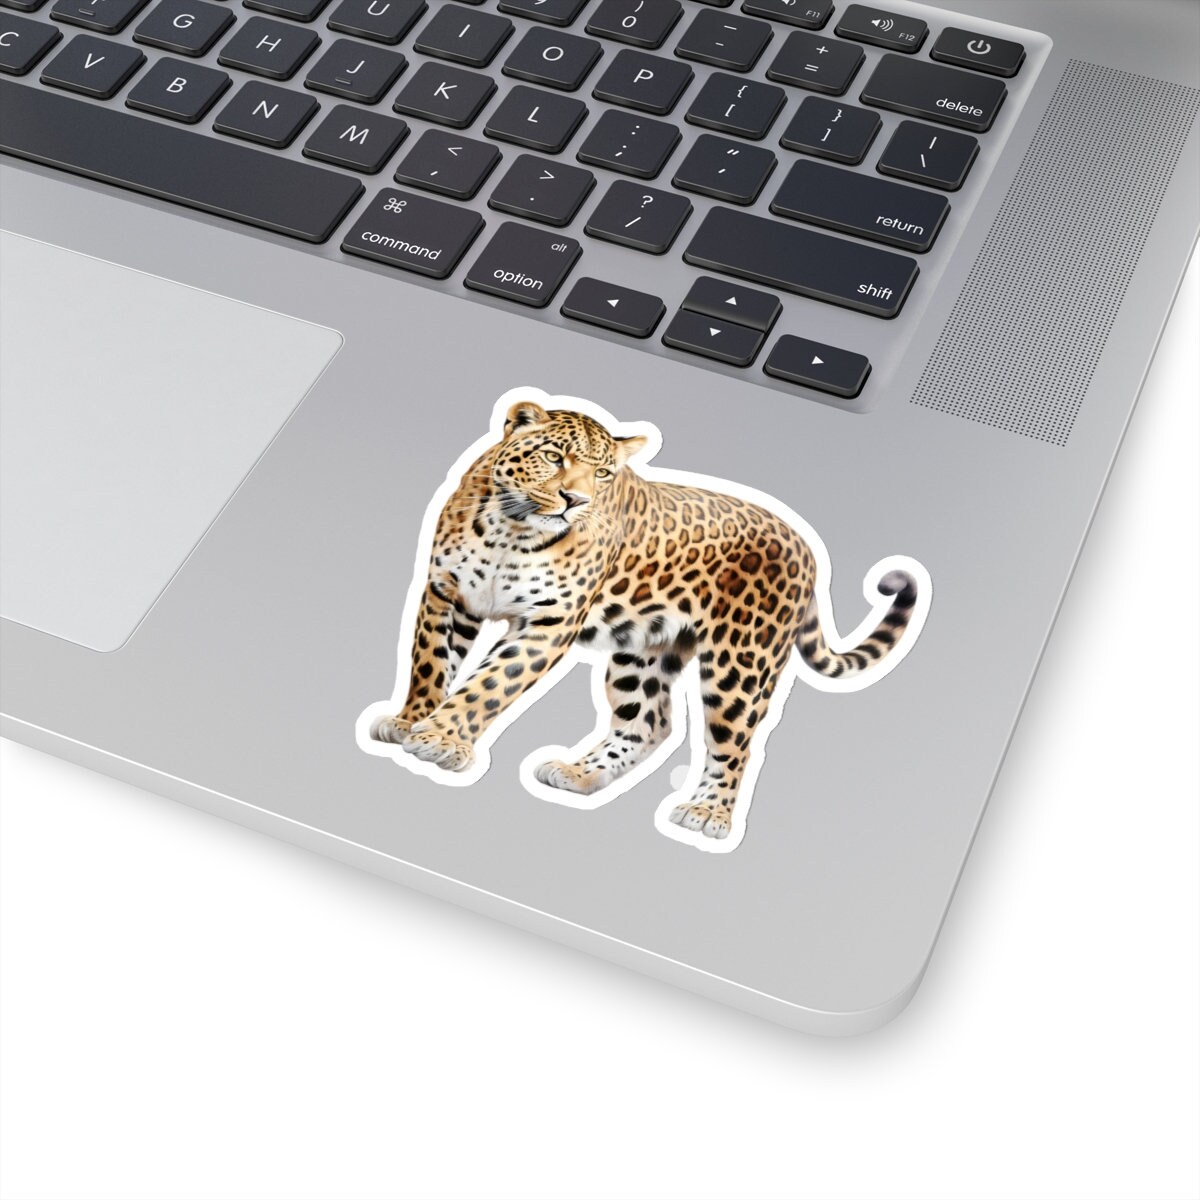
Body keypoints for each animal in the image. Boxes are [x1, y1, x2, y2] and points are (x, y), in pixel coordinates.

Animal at [370, 396, 922, 842]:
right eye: (554, 457)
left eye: (603, 475)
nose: (576, 501)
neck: (512, 527)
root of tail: (806, 548)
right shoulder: (447, 594)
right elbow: (430, 664)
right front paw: (411, 722)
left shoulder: (549, 623)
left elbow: (491, 684)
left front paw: (442, 739)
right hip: (644, 649)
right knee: (650, 721)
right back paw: (579, 773)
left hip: (741, 663)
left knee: (736, 744)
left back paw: (708, 814)